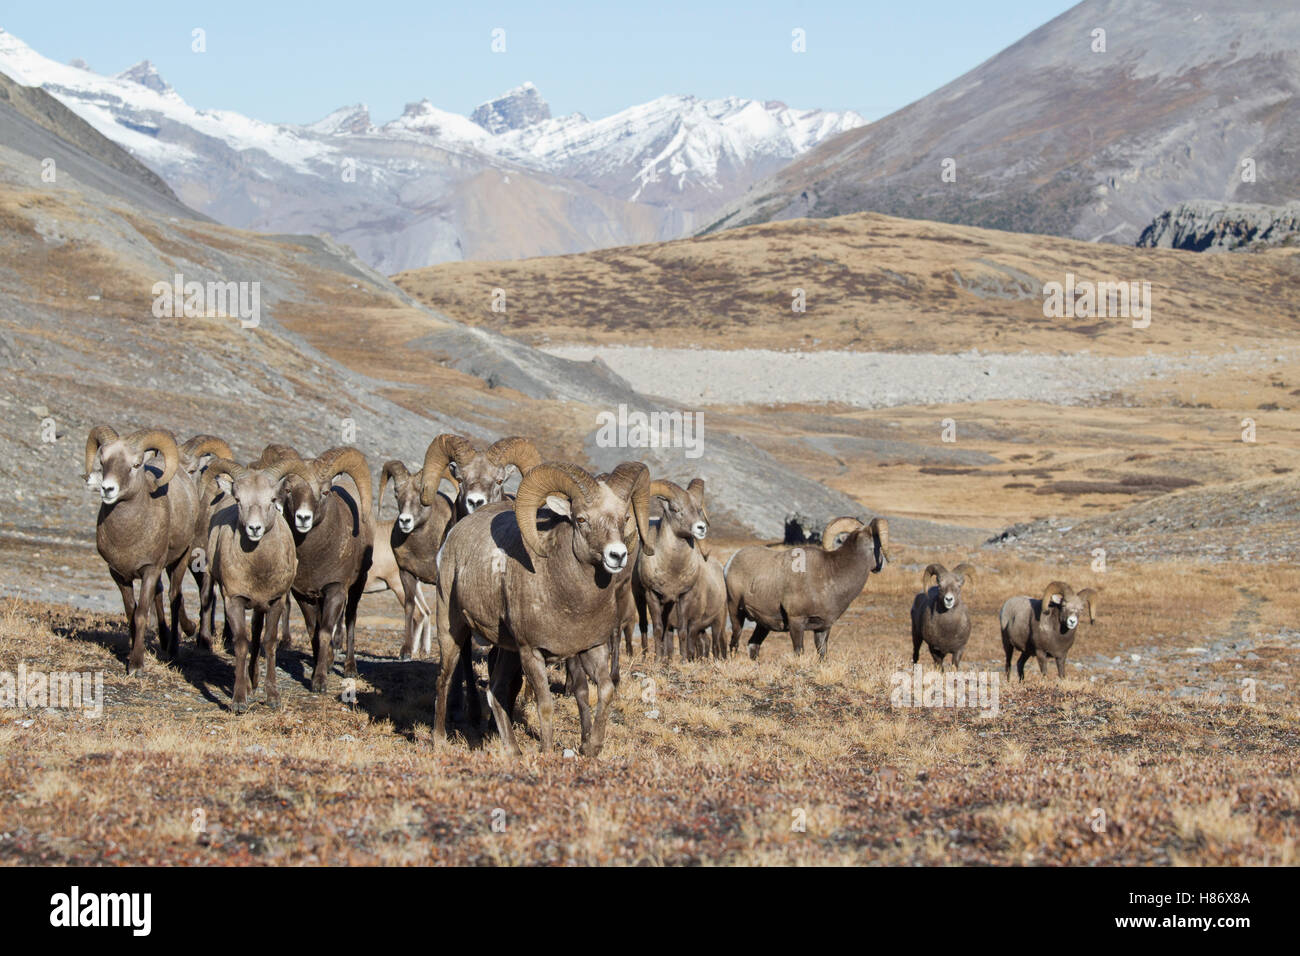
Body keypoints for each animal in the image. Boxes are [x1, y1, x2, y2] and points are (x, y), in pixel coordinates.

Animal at [84, 426, 198, 674]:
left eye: (136, 464)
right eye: (103, 461)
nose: (107, 489)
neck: (128, 537)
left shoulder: (149, 570)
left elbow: (141, 614)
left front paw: (136, 665)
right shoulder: (118, 574)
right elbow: (130, 613)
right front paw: (130, 654)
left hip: (180, 559)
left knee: (174, 595)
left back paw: (174, 647)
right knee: (160, 595)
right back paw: (164, 640)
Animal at [200, 457, 313, 711]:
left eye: (271, 500)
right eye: (239, 500)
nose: (254, 528)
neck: (258, 570)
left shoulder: (275, 601)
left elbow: (268, 643)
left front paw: (273, 698)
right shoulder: (234, 601)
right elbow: (241, 644)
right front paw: (239, 700)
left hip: (260, 607)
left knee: (256, 633)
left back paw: (254, 681)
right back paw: (249, 686)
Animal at [434, 461, 653, 757]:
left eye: (625, 518)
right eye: (581, 519)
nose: (617, 555)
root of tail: (454, 537)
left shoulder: (592, 648)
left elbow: (606, 691)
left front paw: (591, 747)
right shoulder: (533, 653)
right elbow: (546, 705)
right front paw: (547, 754)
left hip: (508, 651)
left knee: (496, 690)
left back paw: (513, 752)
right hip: (452, 629)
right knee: (444, 679)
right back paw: (438, 742)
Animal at [634, 478, 709, 659]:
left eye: (698, 509)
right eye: (675, 509)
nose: (701, 528)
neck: (672, 569)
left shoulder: (683, 597)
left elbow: (681, 631)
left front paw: (683, 660)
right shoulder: (652, 595)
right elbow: (657, 629)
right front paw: (657, 660)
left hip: (668, 604)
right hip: (639, 598)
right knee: (644, 626)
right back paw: (649, 656)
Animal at [725, 515, 889, 660]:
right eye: (876, 546)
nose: (880, 566)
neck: (831, 576)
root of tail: (731, 561)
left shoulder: (822, 628)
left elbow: (822, 653)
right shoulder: (796, 621)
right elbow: (799, 651)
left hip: (762, 624)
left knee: (753, 645)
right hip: (736, 612)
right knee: (734, 642)